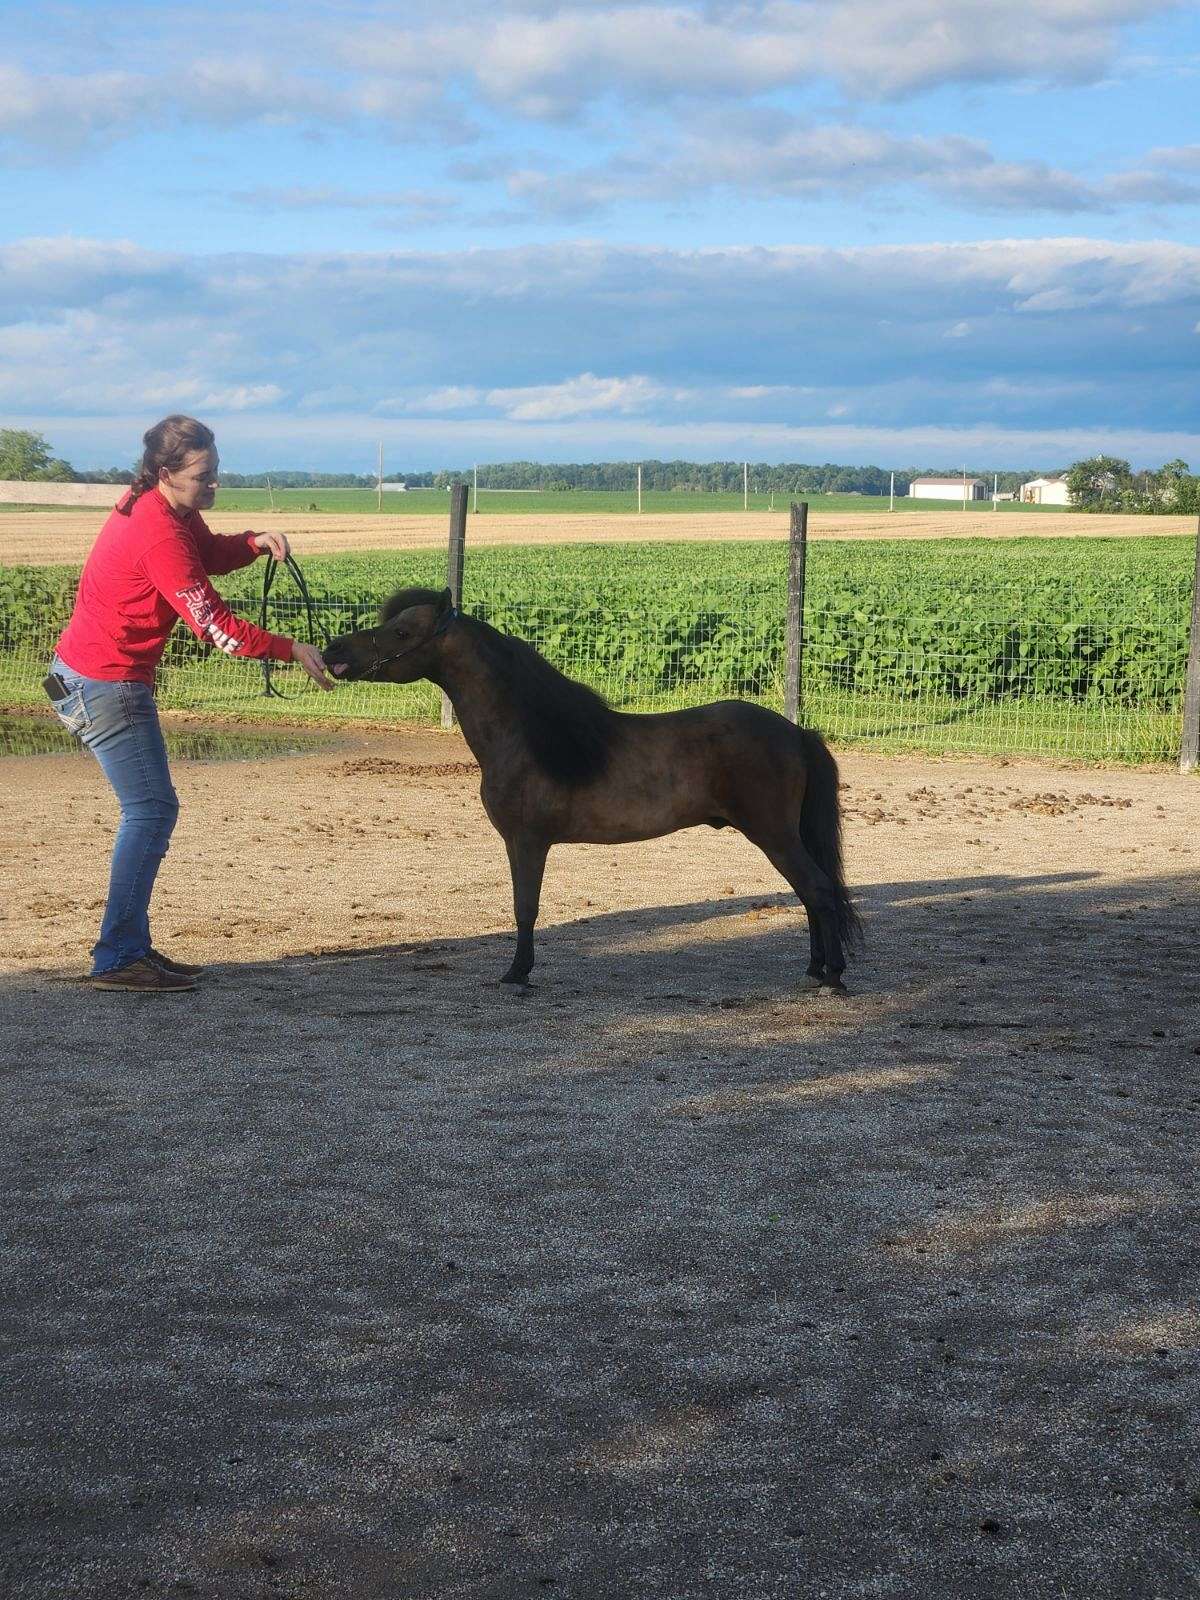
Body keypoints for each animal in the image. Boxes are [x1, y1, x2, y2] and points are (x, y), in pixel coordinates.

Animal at [323, 587, 861, 991]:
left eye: (401, 631)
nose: (332, 651)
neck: (531, 736)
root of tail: (796, 732)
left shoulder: (526, 841)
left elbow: (525, 908)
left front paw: (517, 974)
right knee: (811, 894)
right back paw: (815, 969)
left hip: (774, 833)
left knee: (817, 890)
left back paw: (833, 976)